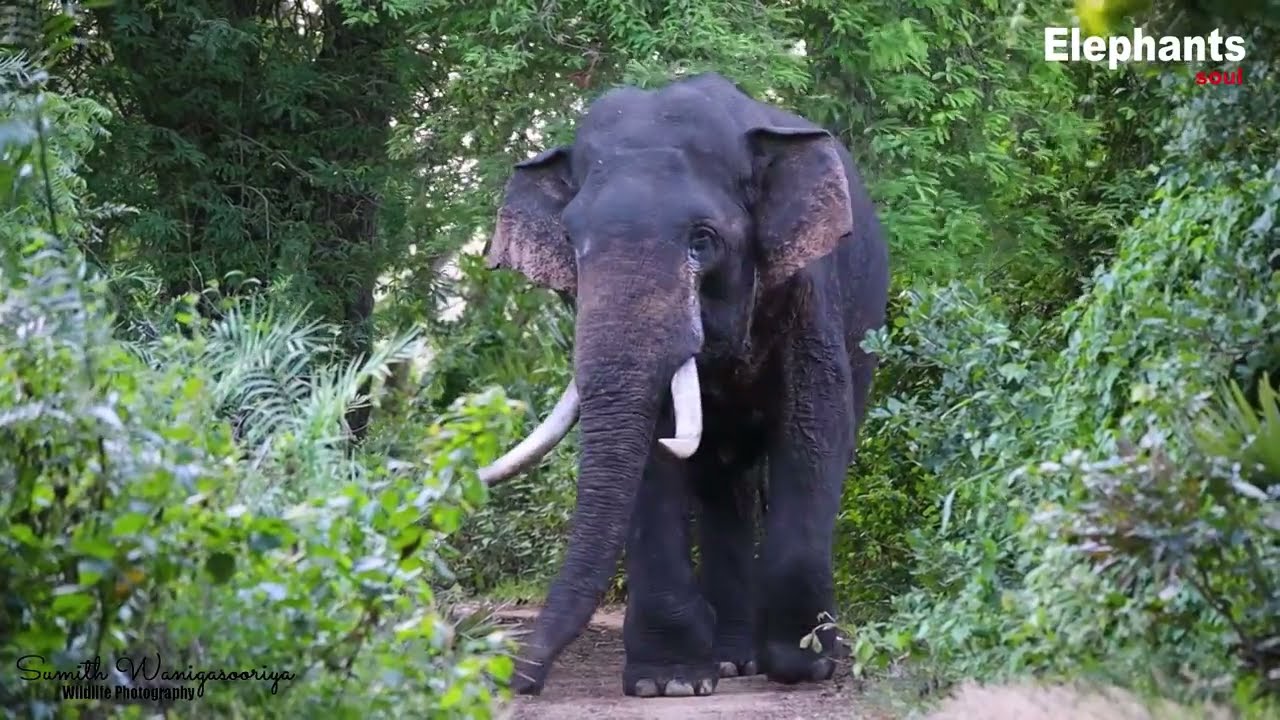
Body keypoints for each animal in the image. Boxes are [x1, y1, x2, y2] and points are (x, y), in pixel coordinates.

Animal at [477, 72, 890, 698]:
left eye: (703, 239)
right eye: (571, 243)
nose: (520, 682)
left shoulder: (806, 288)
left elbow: (815, 427)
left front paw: (805, 666)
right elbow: (654, 453)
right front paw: (667, 682)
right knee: (725, 484)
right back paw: (731, 661)